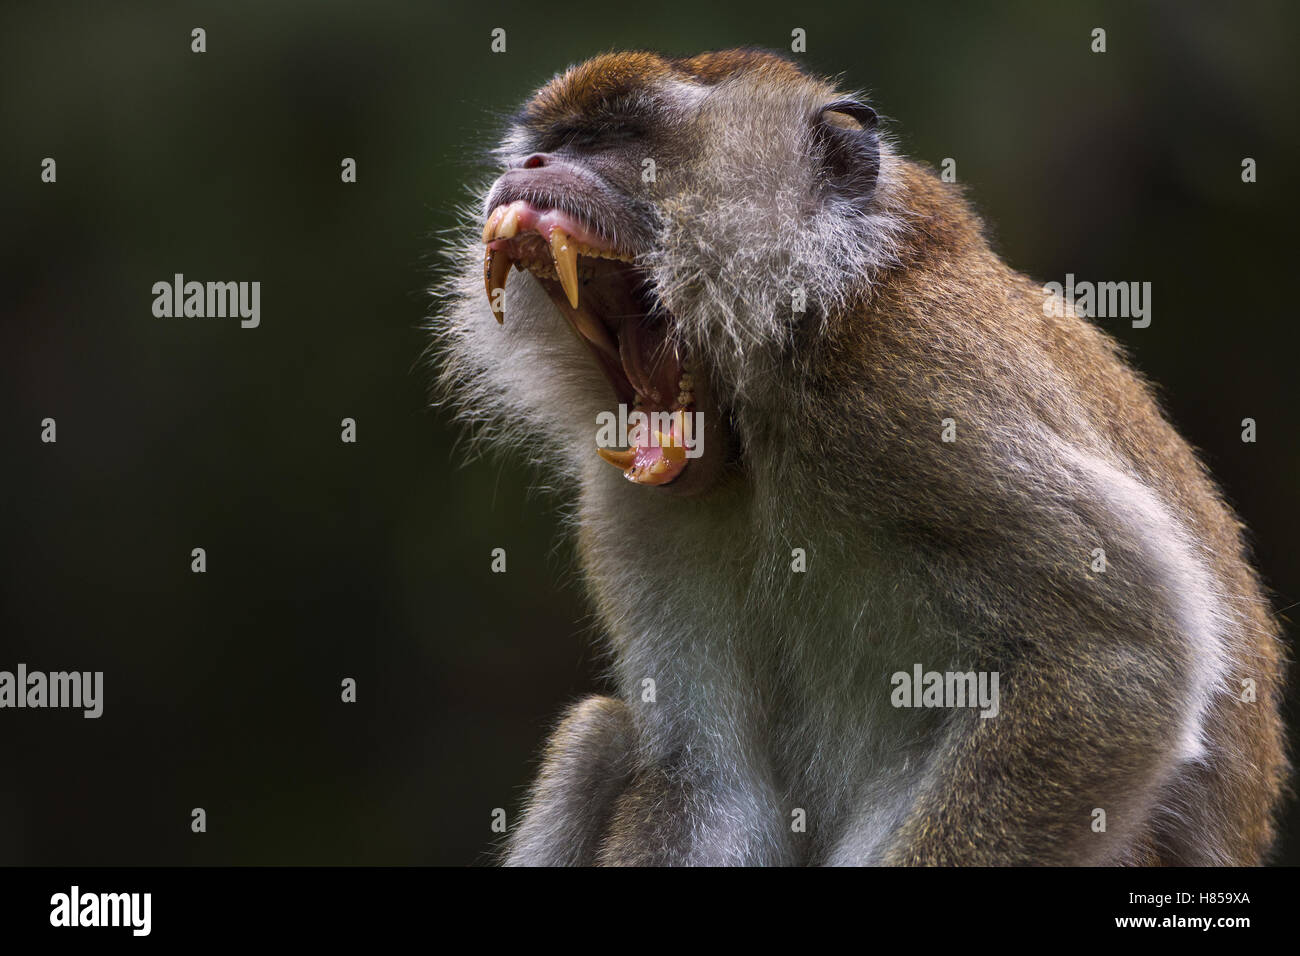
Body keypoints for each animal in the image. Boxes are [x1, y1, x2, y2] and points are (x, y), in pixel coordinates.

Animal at [432, 49, 1287, 865]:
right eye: (554, 141)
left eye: (616, 140)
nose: (531, 165)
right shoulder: (630, 503)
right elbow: (711, 787)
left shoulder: (911, 386)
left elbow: (1121, 661)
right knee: (604, 735)